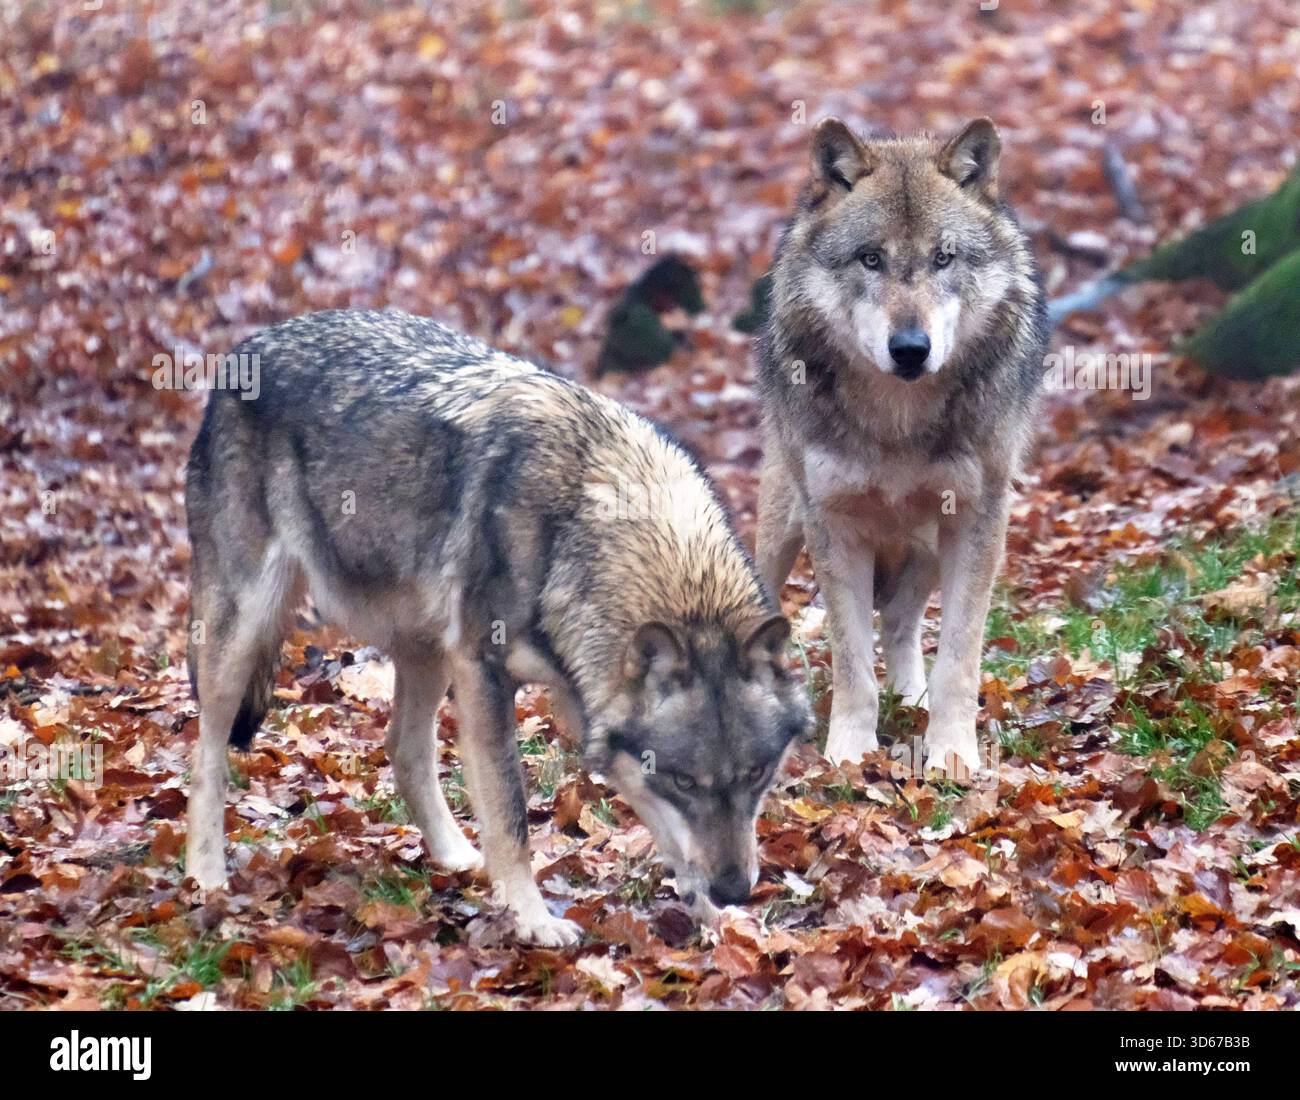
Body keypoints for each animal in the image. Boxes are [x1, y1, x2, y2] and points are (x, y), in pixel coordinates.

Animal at [185, 310, 808, 945]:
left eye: (757, 773)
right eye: (685, 781)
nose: (735, 890)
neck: (580, 522)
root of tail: (252, 344)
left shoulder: (581, 698)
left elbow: (661, 826)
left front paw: (714, 921)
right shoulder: (483, 671)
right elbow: (511, 815)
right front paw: (533, 920)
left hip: (427, 649)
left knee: (402, 749)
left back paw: (457, 857)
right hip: (246, 630)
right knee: (205, 752)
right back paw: (205, 879)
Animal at [755, 118, 1049, 776]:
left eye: (944, 258)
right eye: (871, 258)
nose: (911, 348)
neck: (897, 419)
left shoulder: (977, 518)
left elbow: (959, 660)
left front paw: (951, 754)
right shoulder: (832, 524)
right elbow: (851, 663)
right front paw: (848, 754)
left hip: (929, 545)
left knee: (900, 622)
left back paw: (911, 699)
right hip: (780, 531)